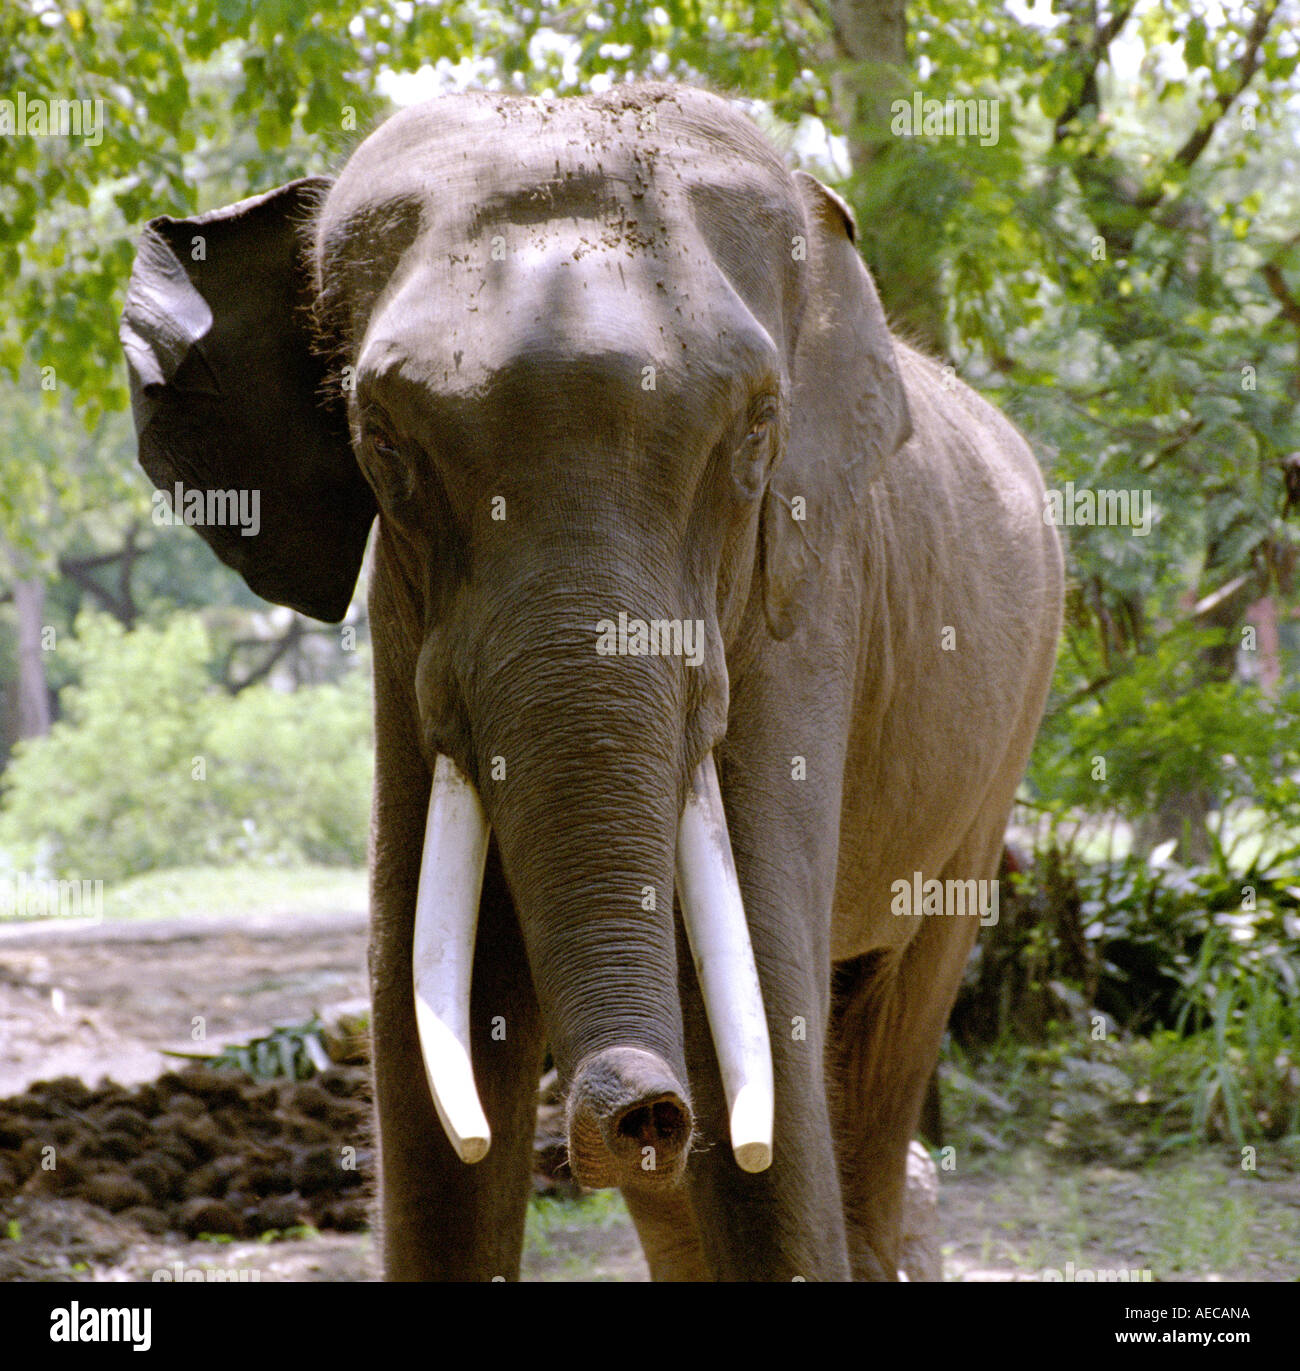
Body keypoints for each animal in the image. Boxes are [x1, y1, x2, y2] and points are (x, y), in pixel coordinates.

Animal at [119, 83, 1063, 1281]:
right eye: (381, 443)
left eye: (756, 431)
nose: (640, 1116)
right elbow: (433, 1016)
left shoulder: (803, 596)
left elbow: (751, 1007)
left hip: (998, 752)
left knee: (893, 1023)